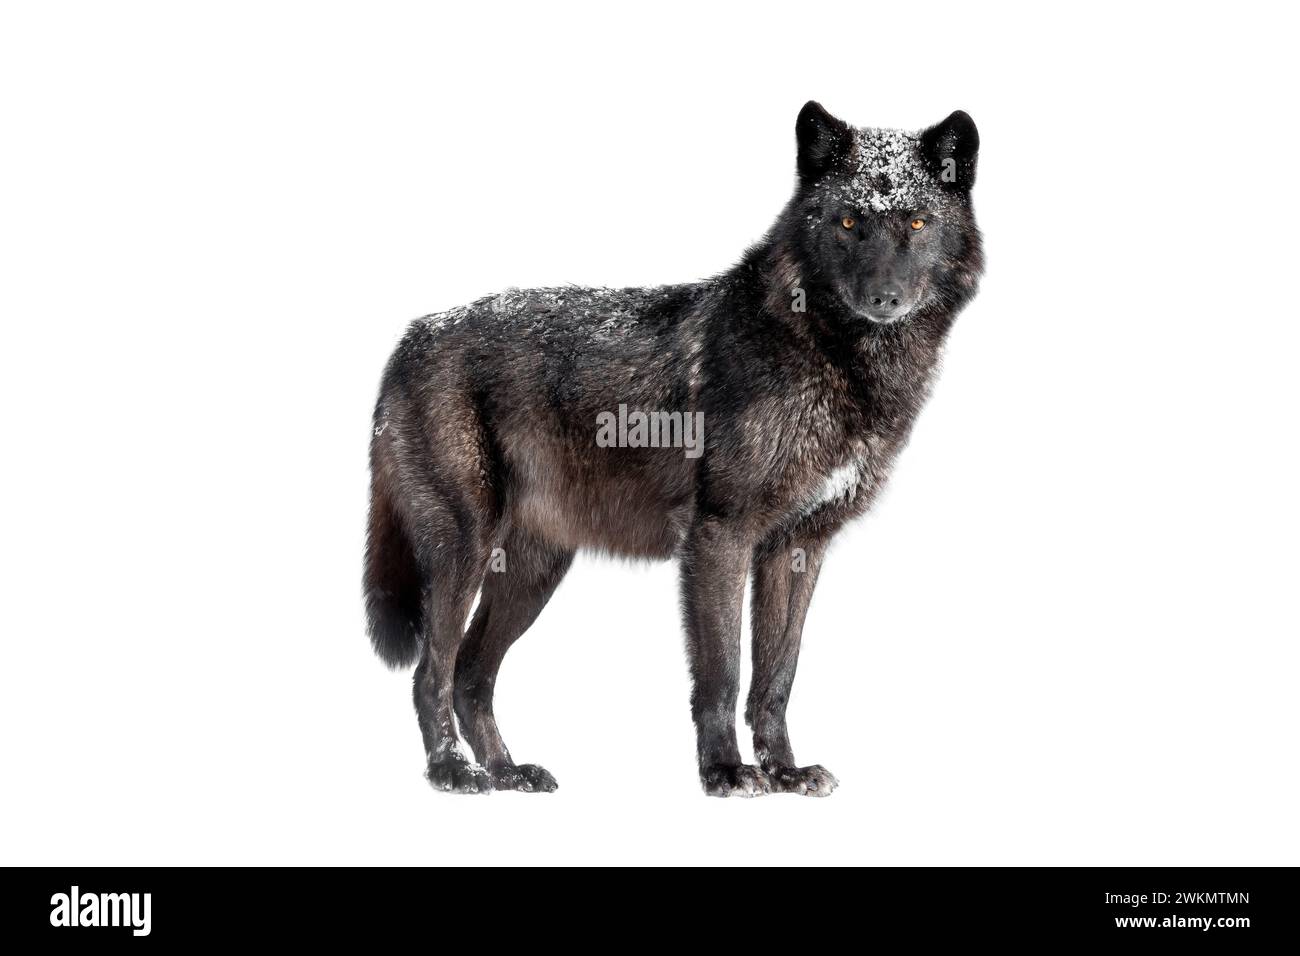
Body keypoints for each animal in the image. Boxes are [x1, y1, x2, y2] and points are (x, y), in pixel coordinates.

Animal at [365, 102, 983, 796]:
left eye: (917, 221)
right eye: (849, 221)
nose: (883, 299)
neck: (829, 354)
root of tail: (411, 337)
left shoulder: (797, 547)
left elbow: (777, 677)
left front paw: (785, 771)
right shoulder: (719, 536)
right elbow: (723, 673)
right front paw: (725, 772)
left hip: (533, 572)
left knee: (473, 675)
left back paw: (507, 772)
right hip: (465, 551)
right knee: (431, 672)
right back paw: (452, 771)